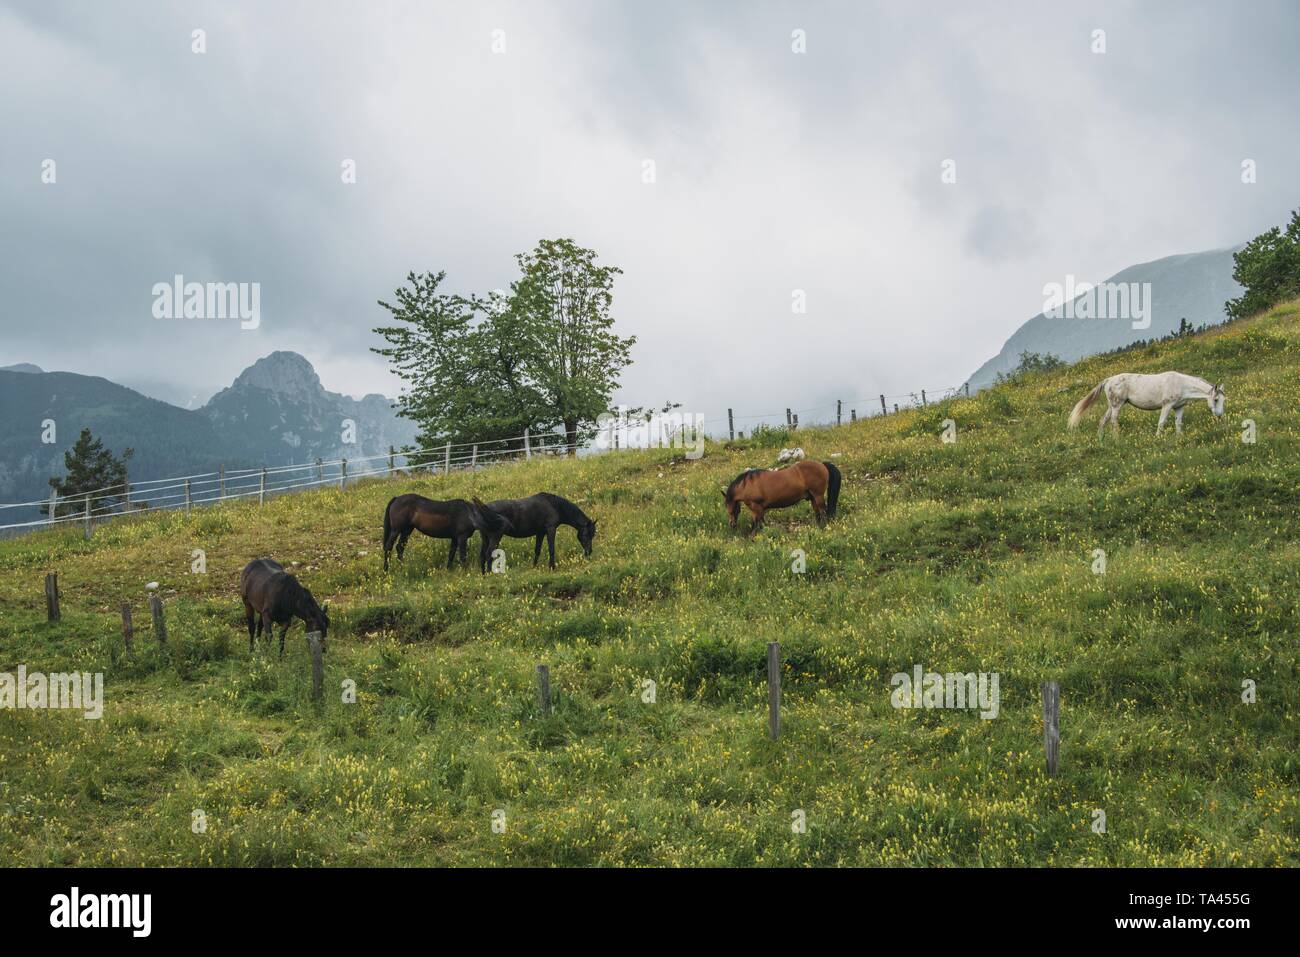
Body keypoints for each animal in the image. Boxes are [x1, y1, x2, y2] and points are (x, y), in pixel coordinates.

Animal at [381, 494, 513, 571]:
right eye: (498, 529)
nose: (495, 549)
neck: (469, 514)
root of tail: (396, 499)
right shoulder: (462, 537)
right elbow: (462, 556)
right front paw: (464, 571)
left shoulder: (454, 538)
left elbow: (451, 554)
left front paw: (449, 569)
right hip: (396, 530)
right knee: (389, 547)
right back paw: (386, 569)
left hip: (407, 530)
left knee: (400, 547)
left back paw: (402, 566)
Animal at [1068, 371, 1225, 437]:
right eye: (1216, 399)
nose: (1219, 415)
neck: (1181, 384)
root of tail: (1108, 380)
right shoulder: (1167, 405)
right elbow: (1161, 422)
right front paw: (1157, 438)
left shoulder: (1179, 407)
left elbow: (1178, 423)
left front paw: (1179, 437)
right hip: (1117, 405)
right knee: (1113, 421)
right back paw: (1117, 439)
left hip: (1111, 406)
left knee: (1103, 421)